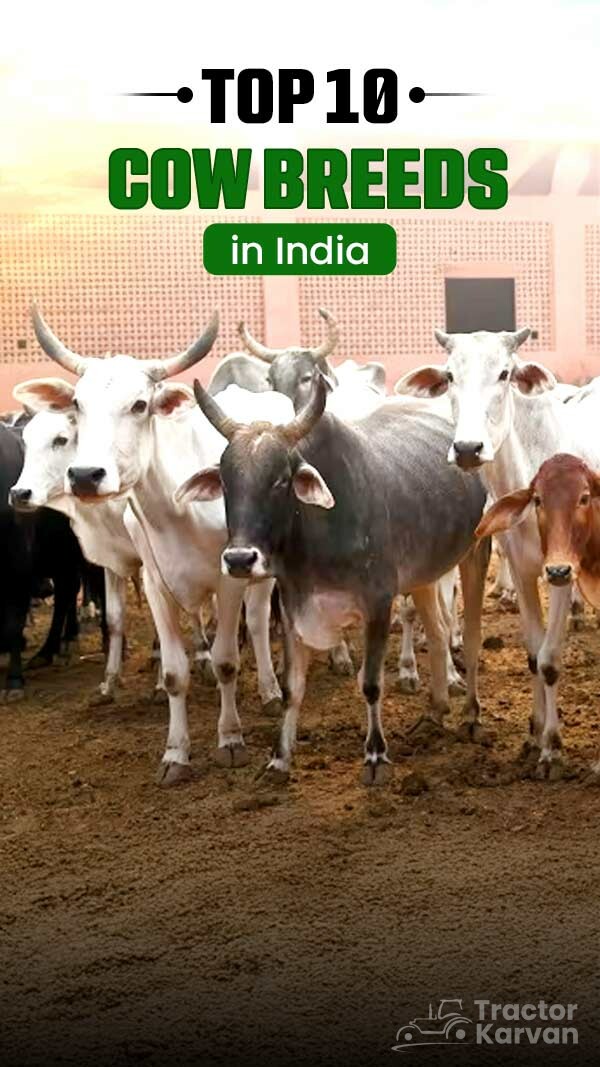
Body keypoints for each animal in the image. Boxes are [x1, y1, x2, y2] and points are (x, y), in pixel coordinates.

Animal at [24, 304, 291, 784]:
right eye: (77, 405)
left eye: (139, 404)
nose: (86, 476)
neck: (174, 505)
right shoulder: (153, 583)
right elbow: (172, 672)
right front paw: (175, 753)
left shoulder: (229, 579)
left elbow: (227, 660)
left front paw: (230, 739)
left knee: (260, 621)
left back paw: (269, 690)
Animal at [176, 373, 489, 785]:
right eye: (226, 481)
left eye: (281, 480)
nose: (240, 559)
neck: (319, 533)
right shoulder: (293, 607)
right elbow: (292, 688)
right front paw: (279, 759)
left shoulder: (378, 605)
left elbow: (371, 683)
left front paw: (375, 756)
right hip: (423, 576)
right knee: (437, 633)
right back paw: (435, 712)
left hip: (476, 553)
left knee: (469, 637)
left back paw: (470, 715)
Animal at [394, 327, 600, 777]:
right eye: (450, 375)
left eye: (505, 373)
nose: (468, 448)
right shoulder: (523, 571)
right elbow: (533, 655)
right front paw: (535, 735)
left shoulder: (561, 574)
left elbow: (550, 659)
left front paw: (552, 748)